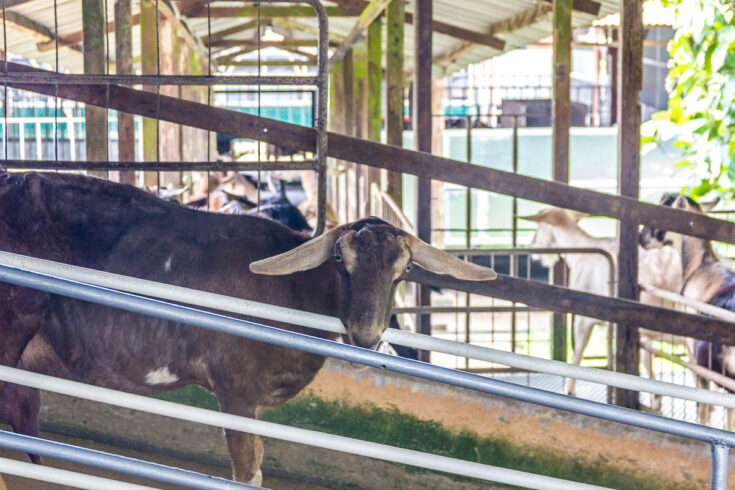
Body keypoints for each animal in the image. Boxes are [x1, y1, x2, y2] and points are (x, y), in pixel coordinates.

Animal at [0, 171, 496, 484]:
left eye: (404, 270)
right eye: (340, 259)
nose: (366, 335)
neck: (292, 293)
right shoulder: (235, 391)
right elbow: (246, 471)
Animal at [524, 207, 683, 408]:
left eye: (539, 226)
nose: (532, 248)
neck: (582, 252)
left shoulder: (584, 318)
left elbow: (578, 352)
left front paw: (568, 389)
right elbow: (644, 356)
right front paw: (655, 399)